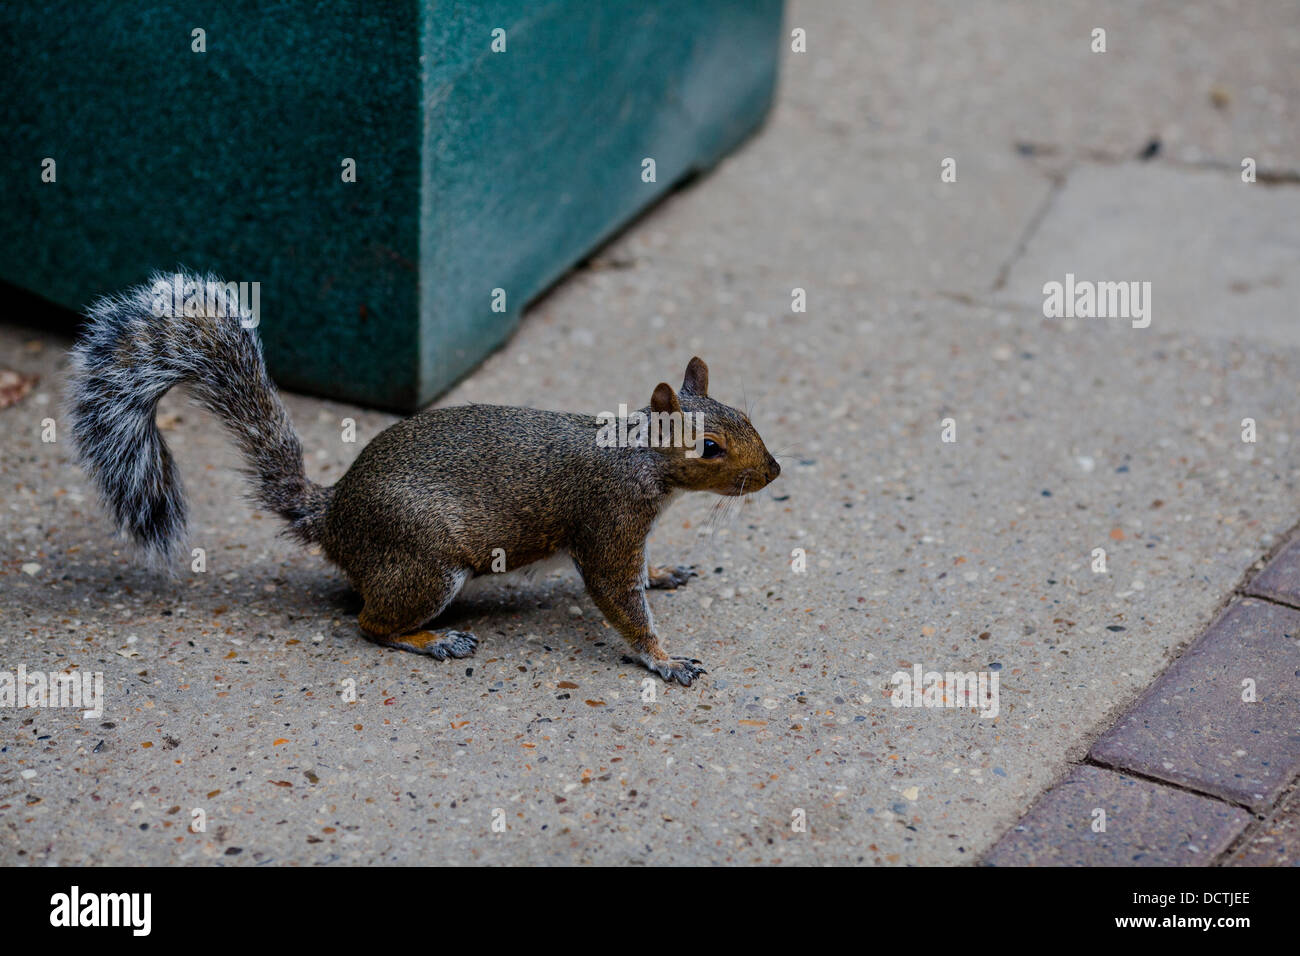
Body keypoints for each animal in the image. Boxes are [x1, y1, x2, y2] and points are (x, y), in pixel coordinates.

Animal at [65, 272, 780, 685]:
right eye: (710, 447)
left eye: (746, 416)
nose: (773, 473)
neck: (635, 461)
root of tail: (333, 517)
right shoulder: (608, 521)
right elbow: (617, 597)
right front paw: (664, 659)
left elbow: (641, 574)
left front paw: (666, 573)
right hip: (425, 565)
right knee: (368, 624)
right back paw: (433, 639)